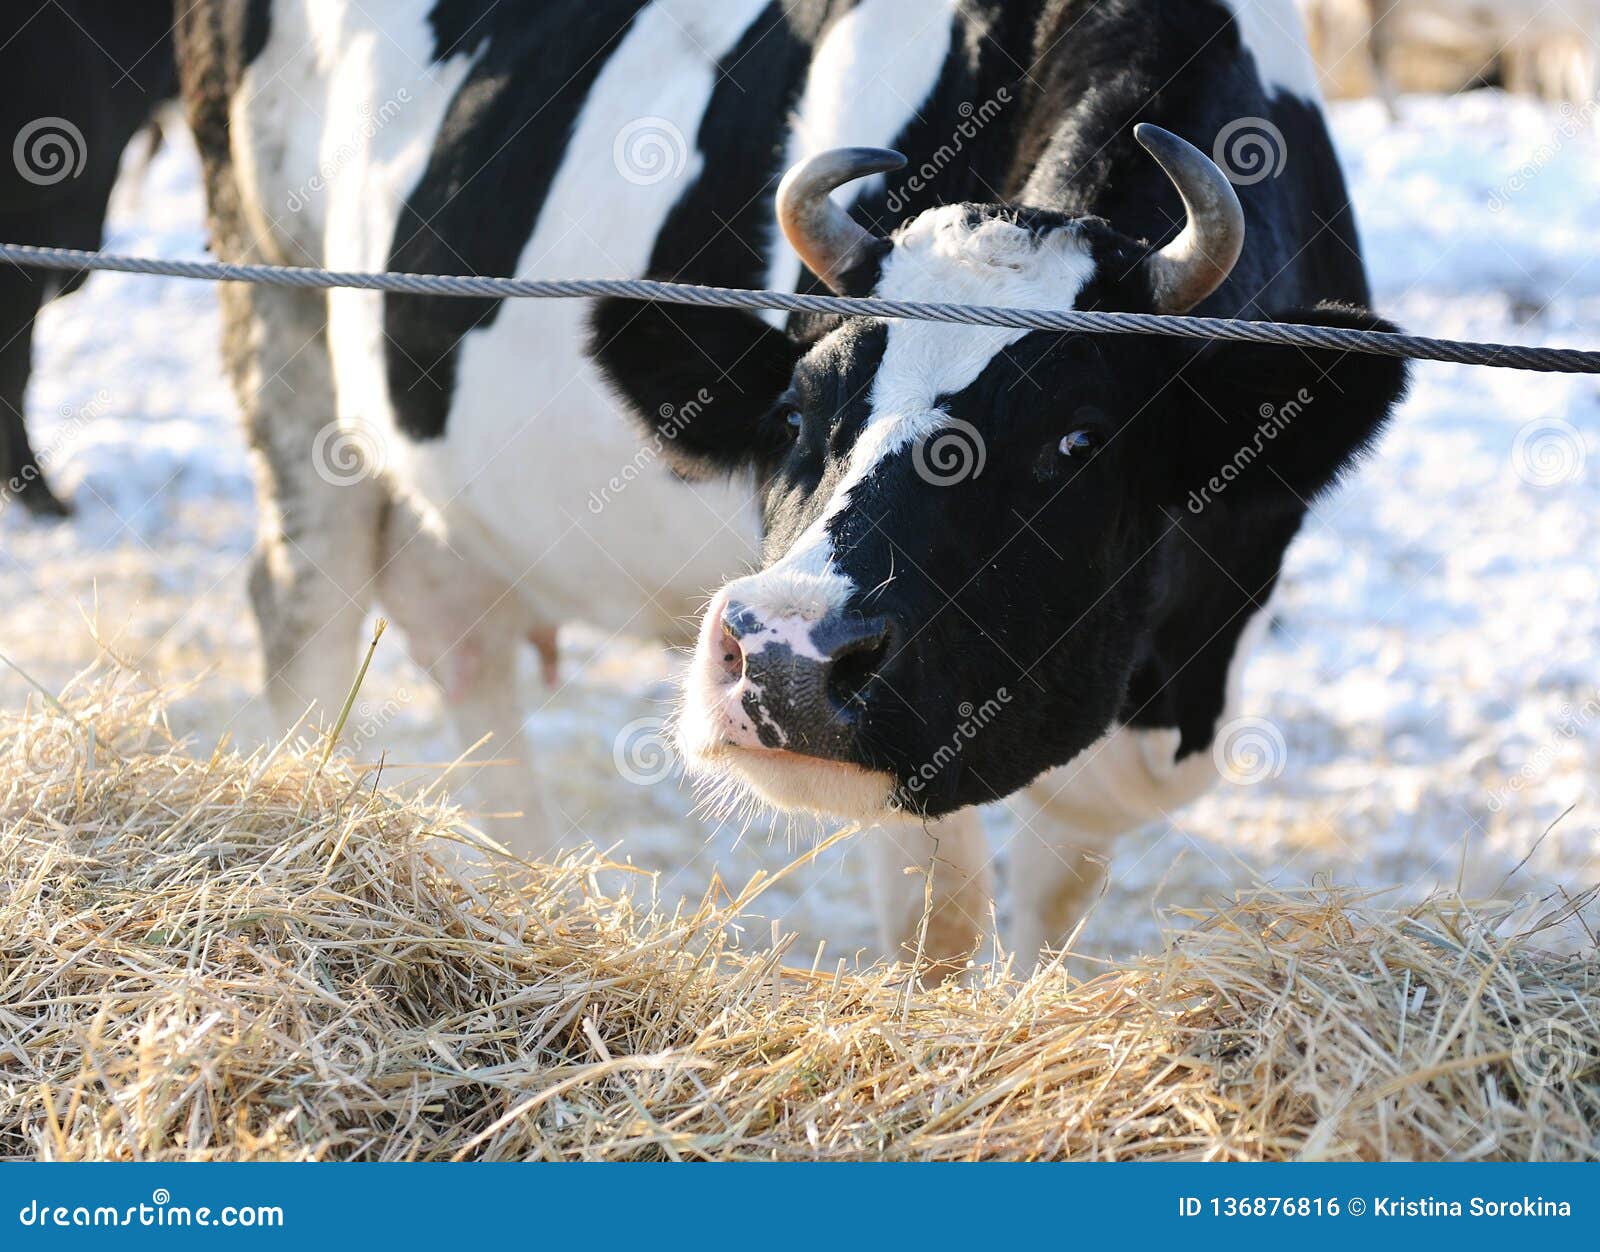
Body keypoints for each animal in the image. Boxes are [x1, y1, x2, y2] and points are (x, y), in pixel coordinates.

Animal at [177, 0, 1408, 978]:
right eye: (795, 418)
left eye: (1078, 440)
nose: (782, 656)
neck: (1159, 685)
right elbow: (940, 922)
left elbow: (1052, 900)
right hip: (277, 295)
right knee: (306, 600)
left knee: (458, 628)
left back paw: (531, 878)